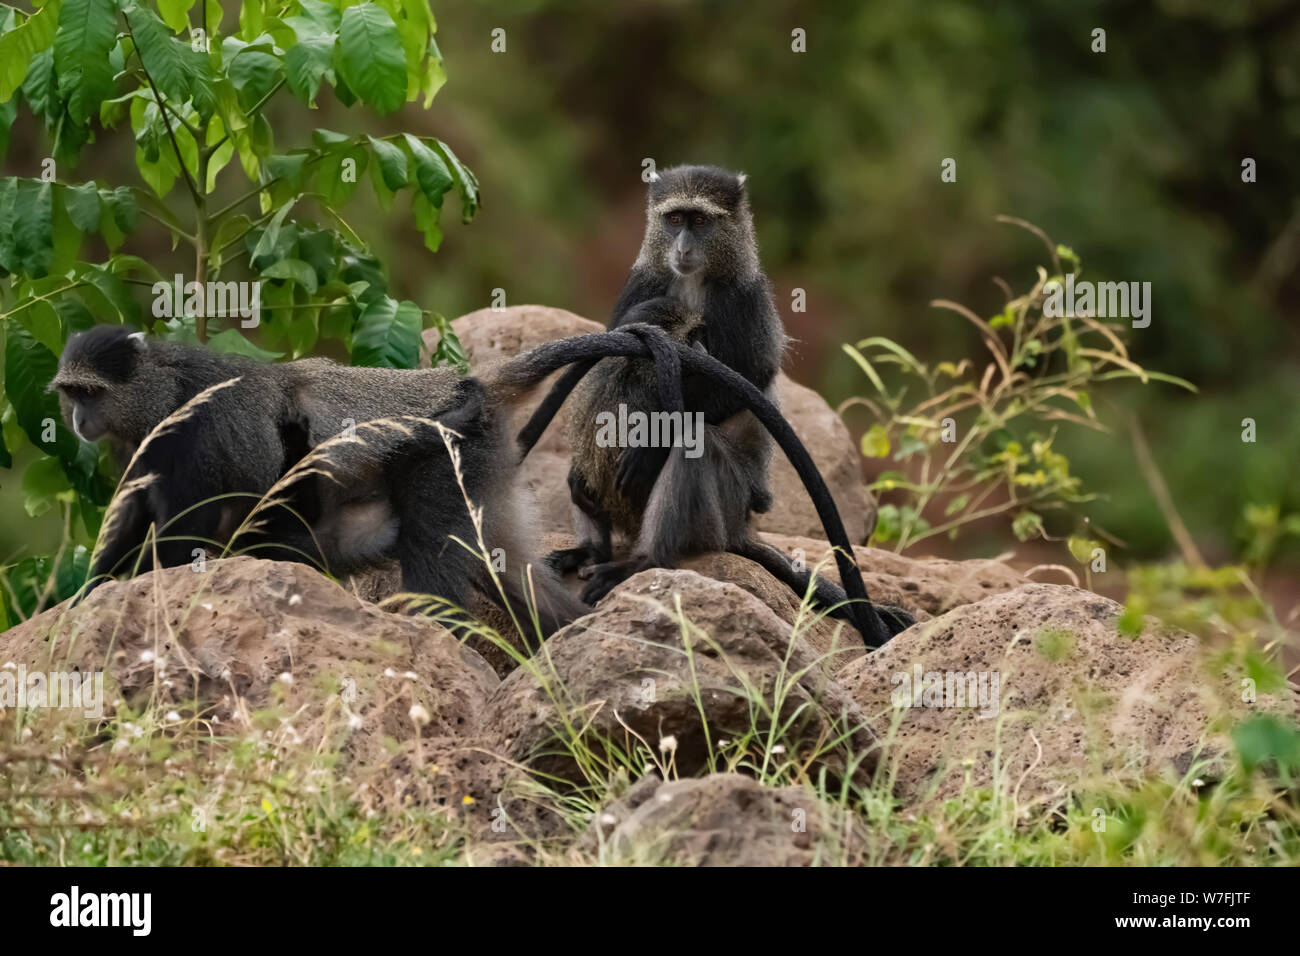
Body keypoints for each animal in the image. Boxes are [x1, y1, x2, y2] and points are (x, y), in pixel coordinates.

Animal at [49, 324, 585, 640]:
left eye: (90, 393)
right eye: (71, 393)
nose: (77, 420)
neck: (164, 389)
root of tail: (460, 384)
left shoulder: (194, 434)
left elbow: (187, 526)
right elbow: (137, 512)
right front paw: (87, 591)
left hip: (444, 465)